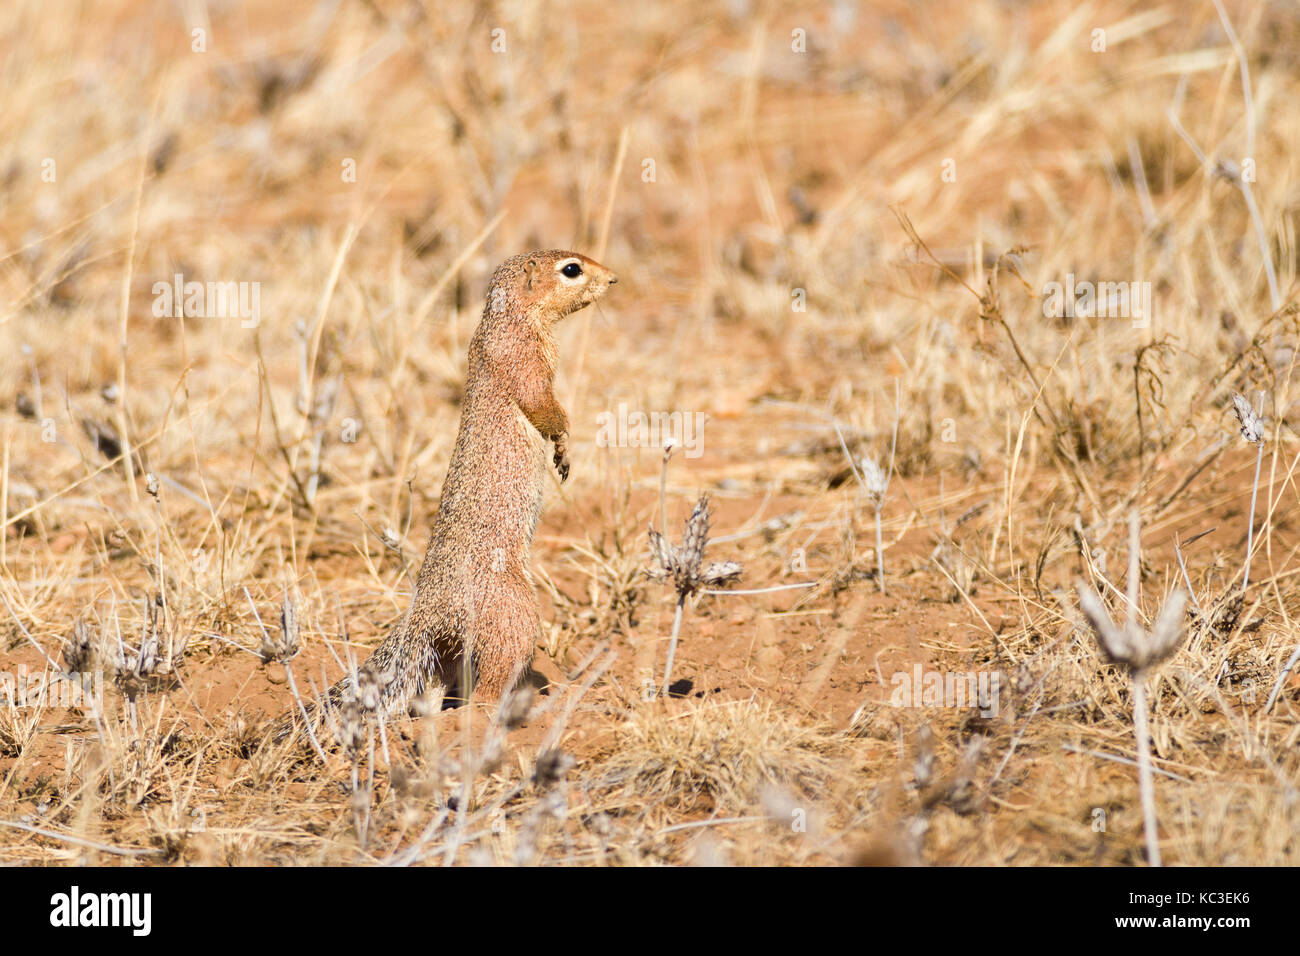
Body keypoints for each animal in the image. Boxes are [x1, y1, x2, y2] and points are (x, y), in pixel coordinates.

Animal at [278, 250, 617, 738]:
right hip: (514, 615)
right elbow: (547, 409)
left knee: (432, 695)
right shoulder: (526, 362)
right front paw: (564, 451)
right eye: (571, 269)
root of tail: (428, 608)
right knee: (488, 688)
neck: (505, 319)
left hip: (446, 652)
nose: (613, 278)